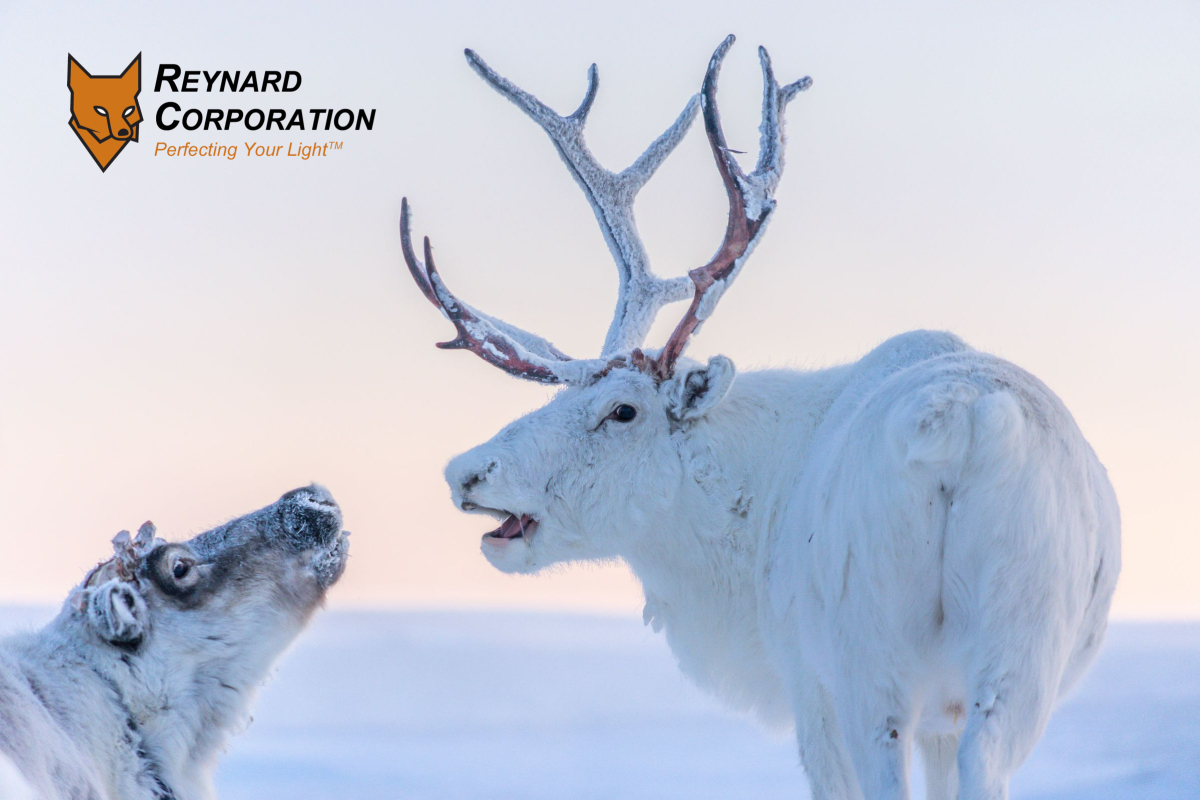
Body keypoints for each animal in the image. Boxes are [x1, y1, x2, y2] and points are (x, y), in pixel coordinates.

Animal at [398, 36, 1121, 800]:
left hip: (870, 658)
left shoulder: (807, 680)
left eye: (622, 410)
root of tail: (963, 425)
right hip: (1018, 650)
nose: (466, 471)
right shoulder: (941, 719)